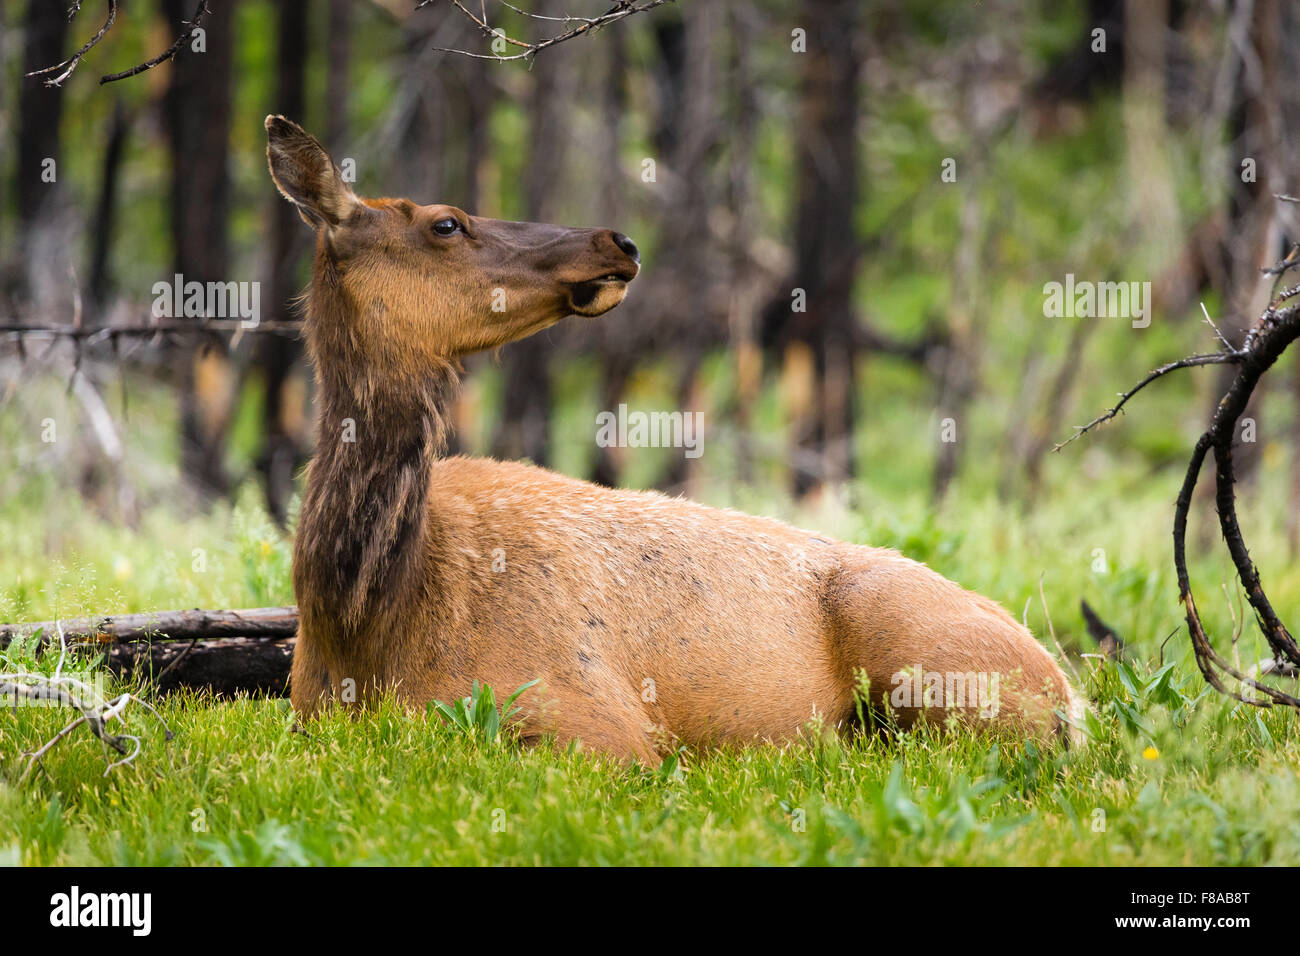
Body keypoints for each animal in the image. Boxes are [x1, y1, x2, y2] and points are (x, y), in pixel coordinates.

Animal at [265, 115, 1083, 764]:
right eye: (445, 222)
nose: (617, 240)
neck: (365, 625)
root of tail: (1072, 697)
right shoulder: (306, 716)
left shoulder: (599, 720)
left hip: (939, 674)